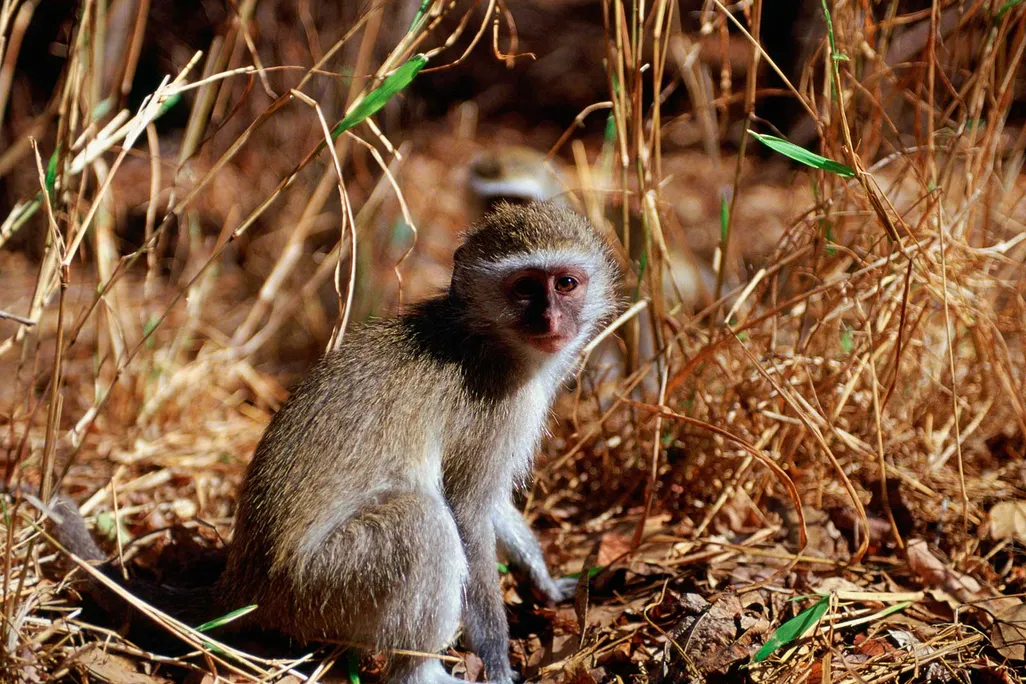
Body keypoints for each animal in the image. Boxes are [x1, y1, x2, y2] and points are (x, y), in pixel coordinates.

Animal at [31, 201, 621, 684]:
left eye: (565, 284)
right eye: (525, 287)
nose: (550, 318)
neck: (488, 336)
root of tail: (246, 587)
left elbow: (491, 505)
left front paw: (544, 584)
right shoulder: (498, 406)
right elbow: (469, 511)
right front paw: (497, 660)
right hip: (321, 589)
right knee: (422, 524)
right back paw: (420, 674)